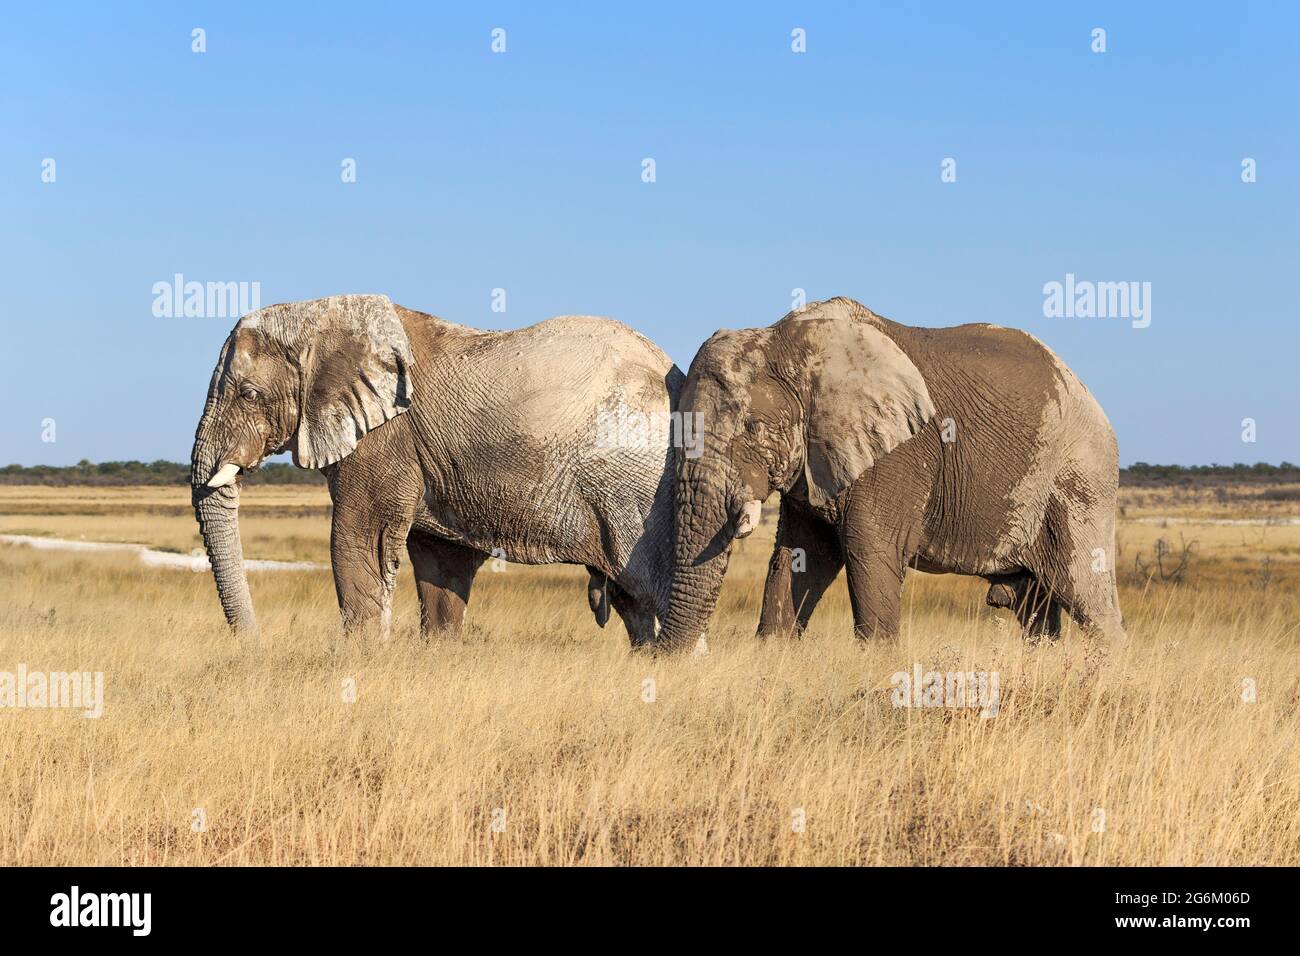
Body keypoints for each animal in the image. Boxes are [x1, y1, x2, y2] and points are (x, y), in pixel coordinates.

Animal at [191, 294, 681, 645]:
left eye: (248, 395)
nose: (257, 645)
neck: (321, 314)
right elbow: (440, 565)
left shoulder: (387, 440)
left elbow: (358, 542)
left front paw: (359, 663)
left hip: (632, 488)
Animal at [657, 296, 1125, 650]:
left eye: (753, 426)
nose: (663, 656)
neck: (788, 343)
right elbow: (799, 556)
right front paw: (773, 650)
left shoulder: (897, 454)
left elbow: (870, 551)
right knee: (1036, 608)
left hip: (1078, 481)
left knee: (1089, 594)